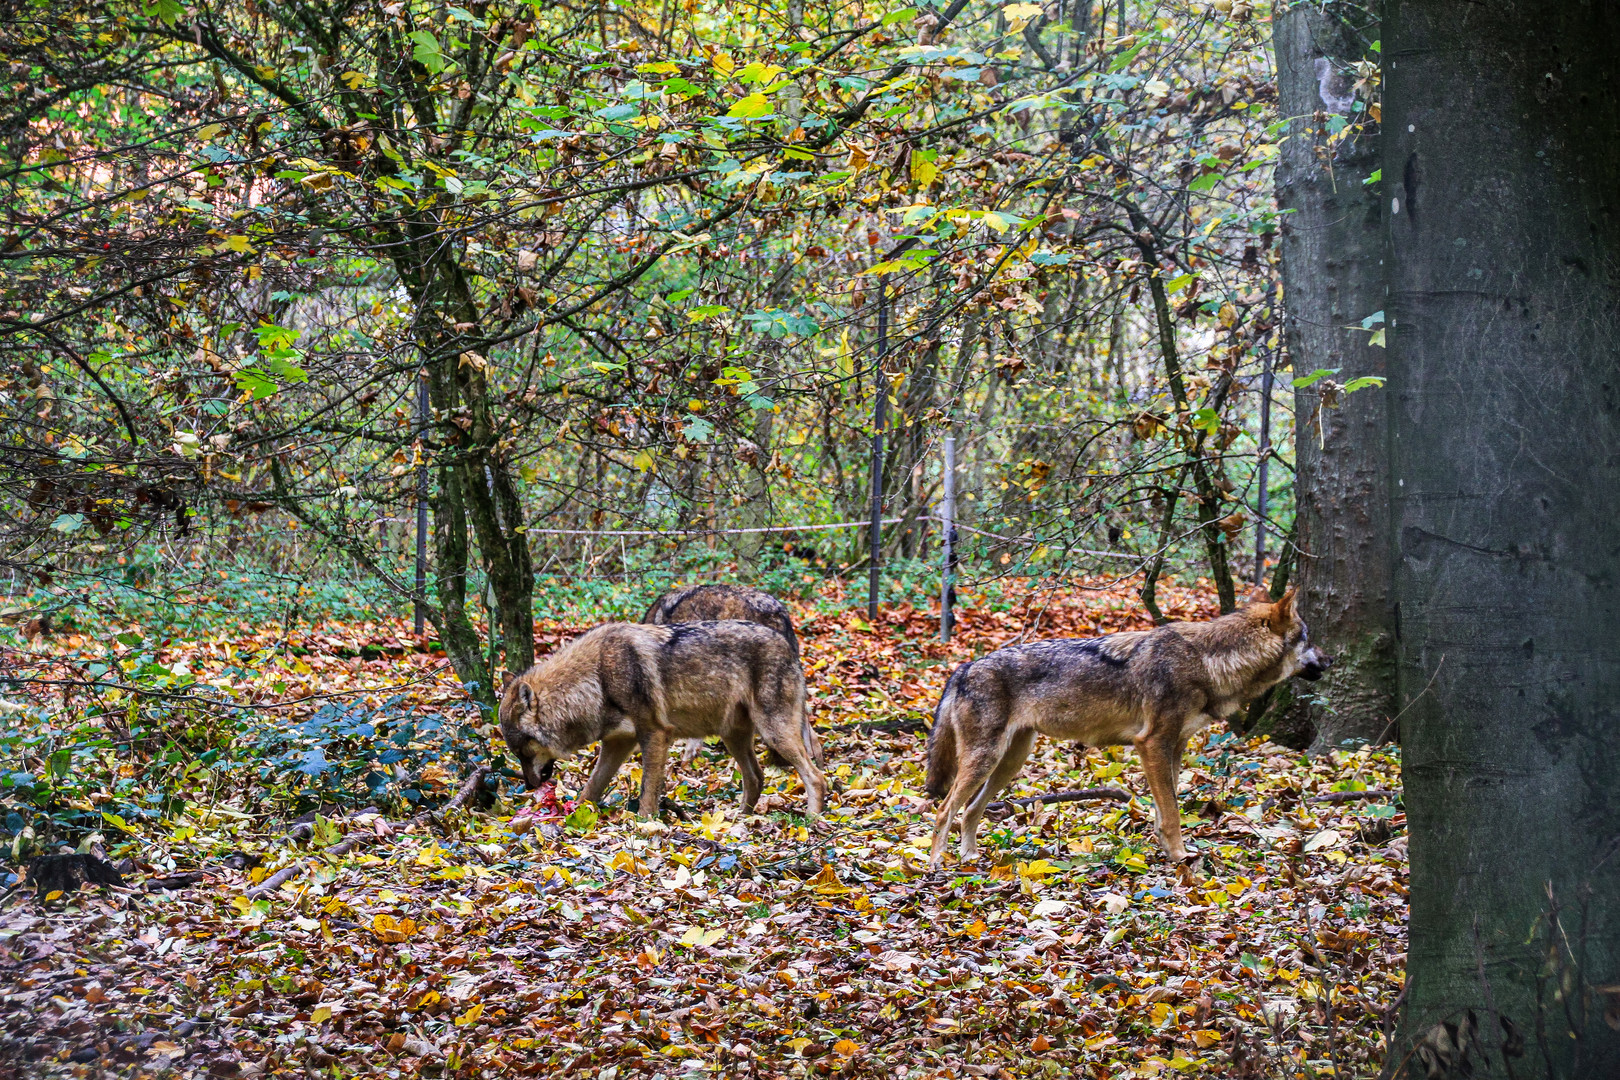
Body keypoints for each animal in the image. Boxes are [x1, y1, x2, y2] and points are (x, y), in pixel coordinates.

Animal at [495, 615, 829, 819]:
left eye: (523, 751)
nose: (530, 787)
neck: (596, 678)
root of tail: (789, 646)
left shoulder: (654, 734)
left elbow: (647, 791)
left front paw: (645, 826)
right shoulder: (618, 743)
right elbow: (591, 787)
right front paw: (574, 816)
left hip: (774, 732)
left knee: (815, 776)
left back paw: (811, 821)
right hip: (733, 736)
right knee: (756, 777)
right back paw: (738, 821)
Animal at [926, 586, 1328, 867]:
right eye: (1308, 638)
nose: (1331, 660)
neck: (1209, 660)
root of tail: (964, 667)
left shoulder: (1174, 746)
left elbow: (1164, 808)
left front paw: (1168, 852)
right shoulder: (1152, 743)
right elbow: (1172, 812)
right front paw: (1180, 857)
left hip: (1009, 762)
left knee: (969, 811)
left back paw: (970, 859)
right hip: (986, 759)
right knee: (944, 810)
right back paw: (936, 866)